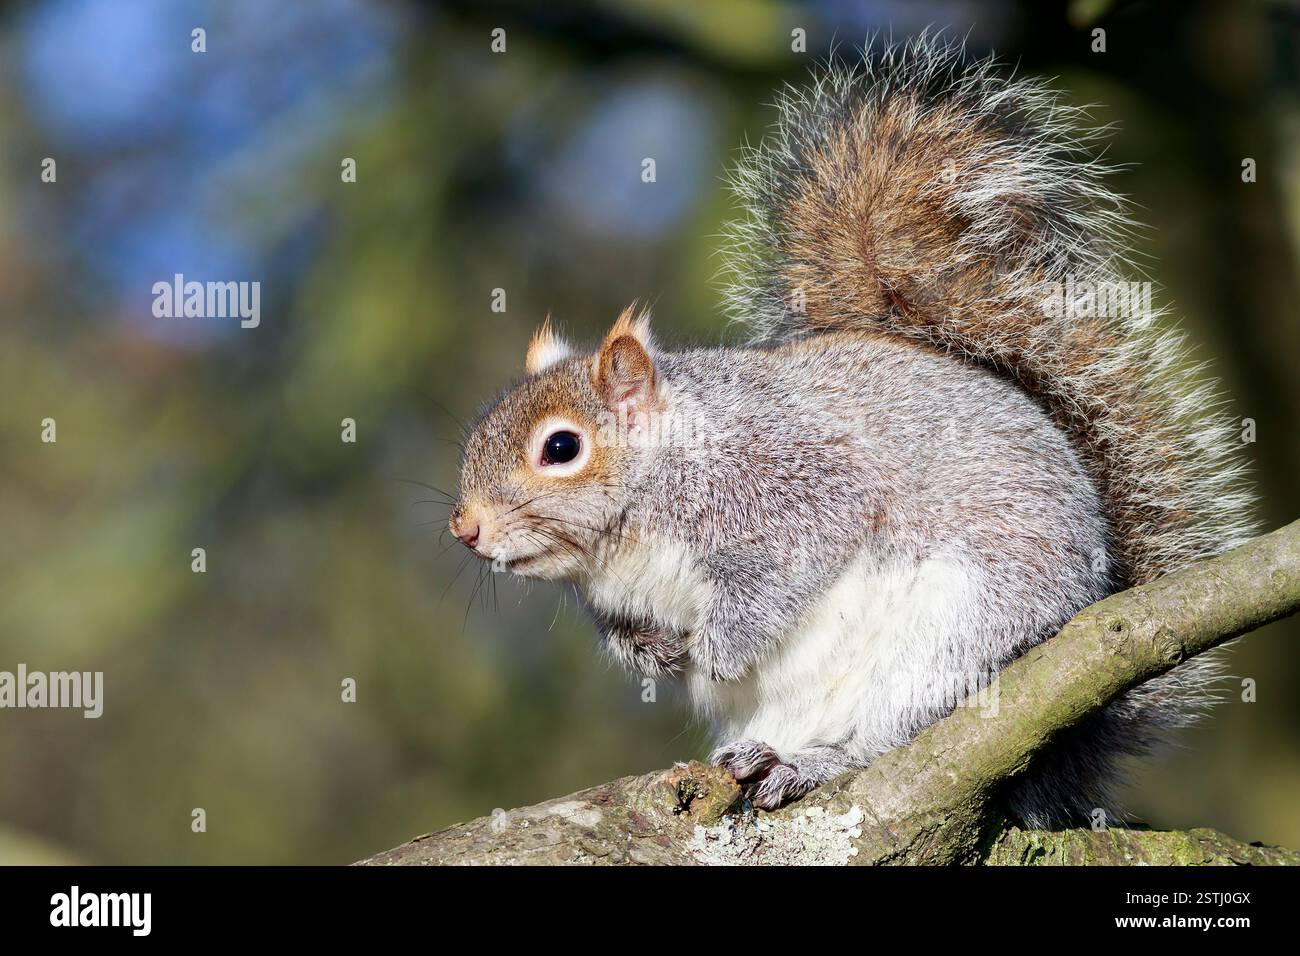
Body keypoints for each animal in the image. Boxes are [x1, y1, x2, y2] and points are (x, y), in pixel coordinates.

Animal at [448, 36, 1255, 826]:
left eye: (561, 447)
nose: (466, 528)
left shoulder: (791, 481)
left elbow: (786, 566)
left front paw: (718, 649)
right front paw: (656, 655)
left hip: (963, 641)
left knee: (898, 737)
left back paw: (817, 764)